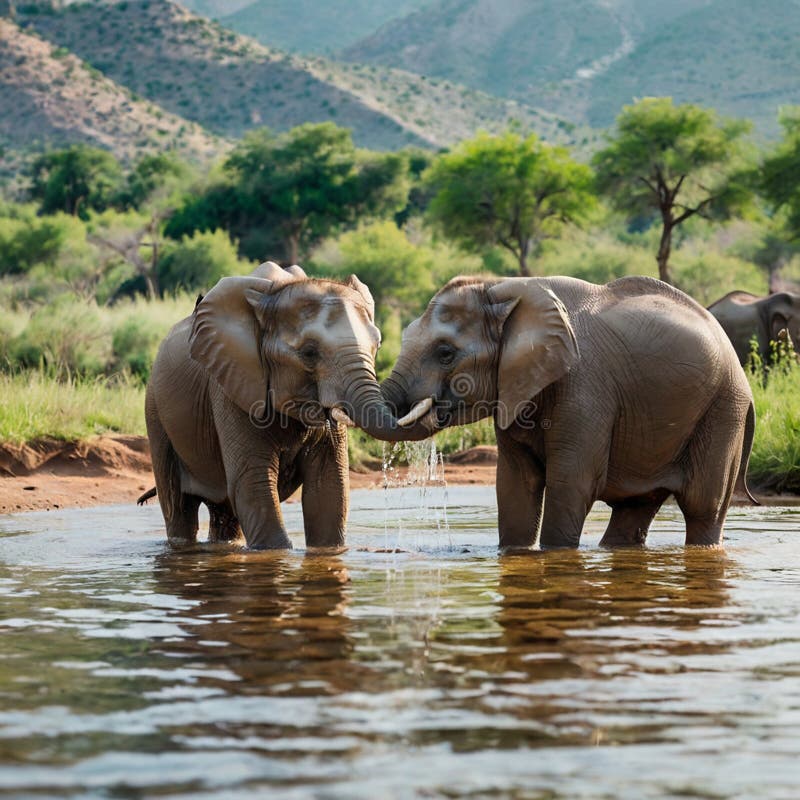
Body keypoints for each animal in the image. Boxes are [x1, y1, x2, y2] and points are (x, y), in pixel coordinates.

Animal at [145, 262, 424, 550]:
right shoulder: (230, 384)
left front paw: (328, 551)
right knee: (178, 504)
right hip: (155, 411)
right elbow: (253, 482)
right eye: (309, 353)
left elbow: (328, 487)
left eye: (376, 345)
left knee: (225, 512)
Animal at [380, 275, 756, 549]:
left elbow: (572, 482)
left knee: (702, 506)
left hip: (724, 410)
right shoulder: (515, 386)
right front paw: (515, 553)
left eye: (445, 352)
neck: (499, 287)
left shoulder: (585, 387)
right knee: (634, 508)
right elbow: (516, 483)